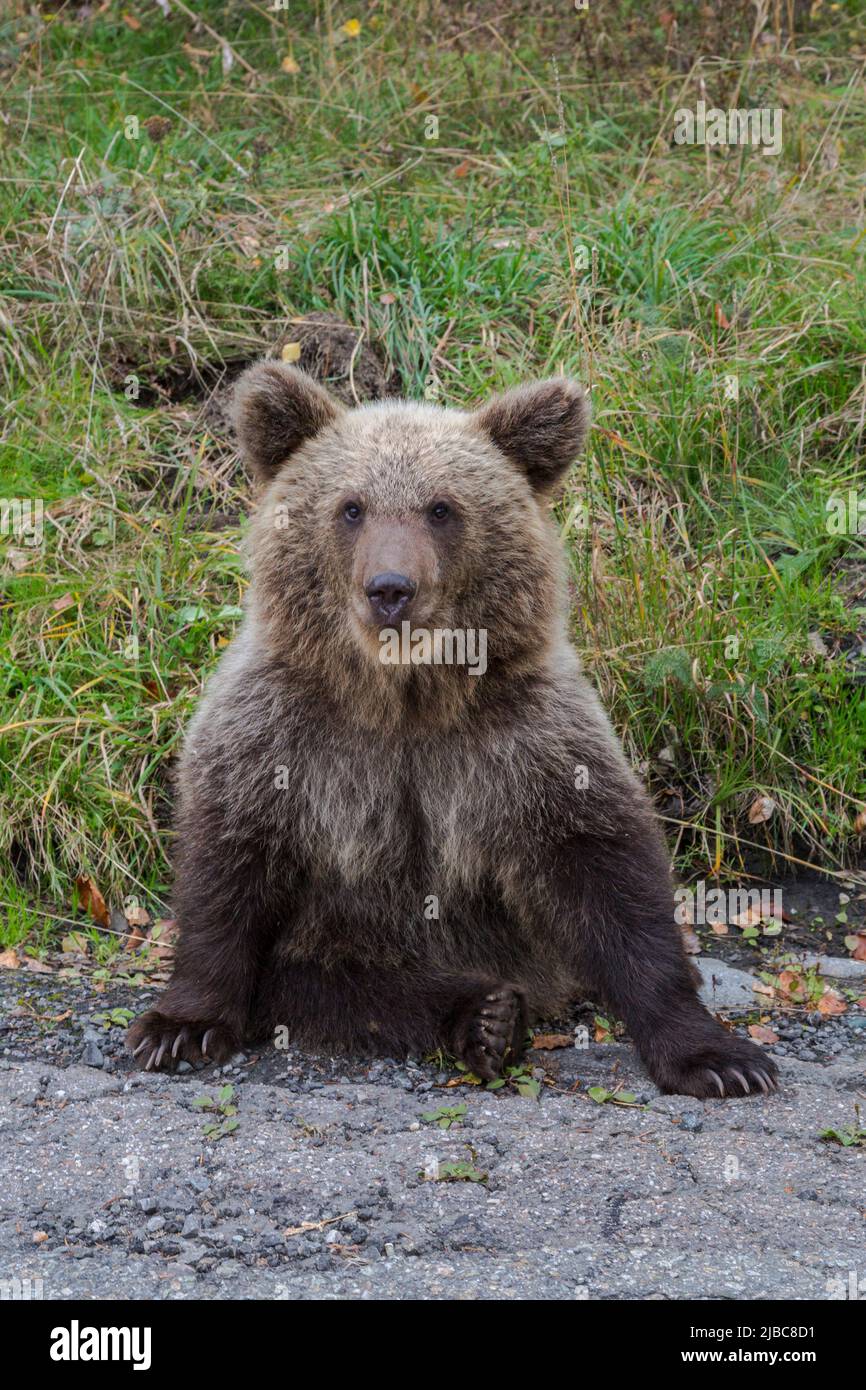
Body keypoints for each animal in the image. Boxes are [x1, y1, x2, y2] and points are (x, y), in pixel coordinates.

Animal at [127, 364, 777, 1099]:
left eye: (441, 507)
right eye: (351, 507)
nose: (390, 587)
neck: (405, 696)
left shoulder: (527, 737)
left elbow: (606, 868)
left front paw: (717, 1057)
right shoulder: (280, 731)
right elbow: (230, 864)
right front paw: (180, 1026)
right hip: (344, 934)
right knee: (340, 987)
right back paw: (482, 1015)